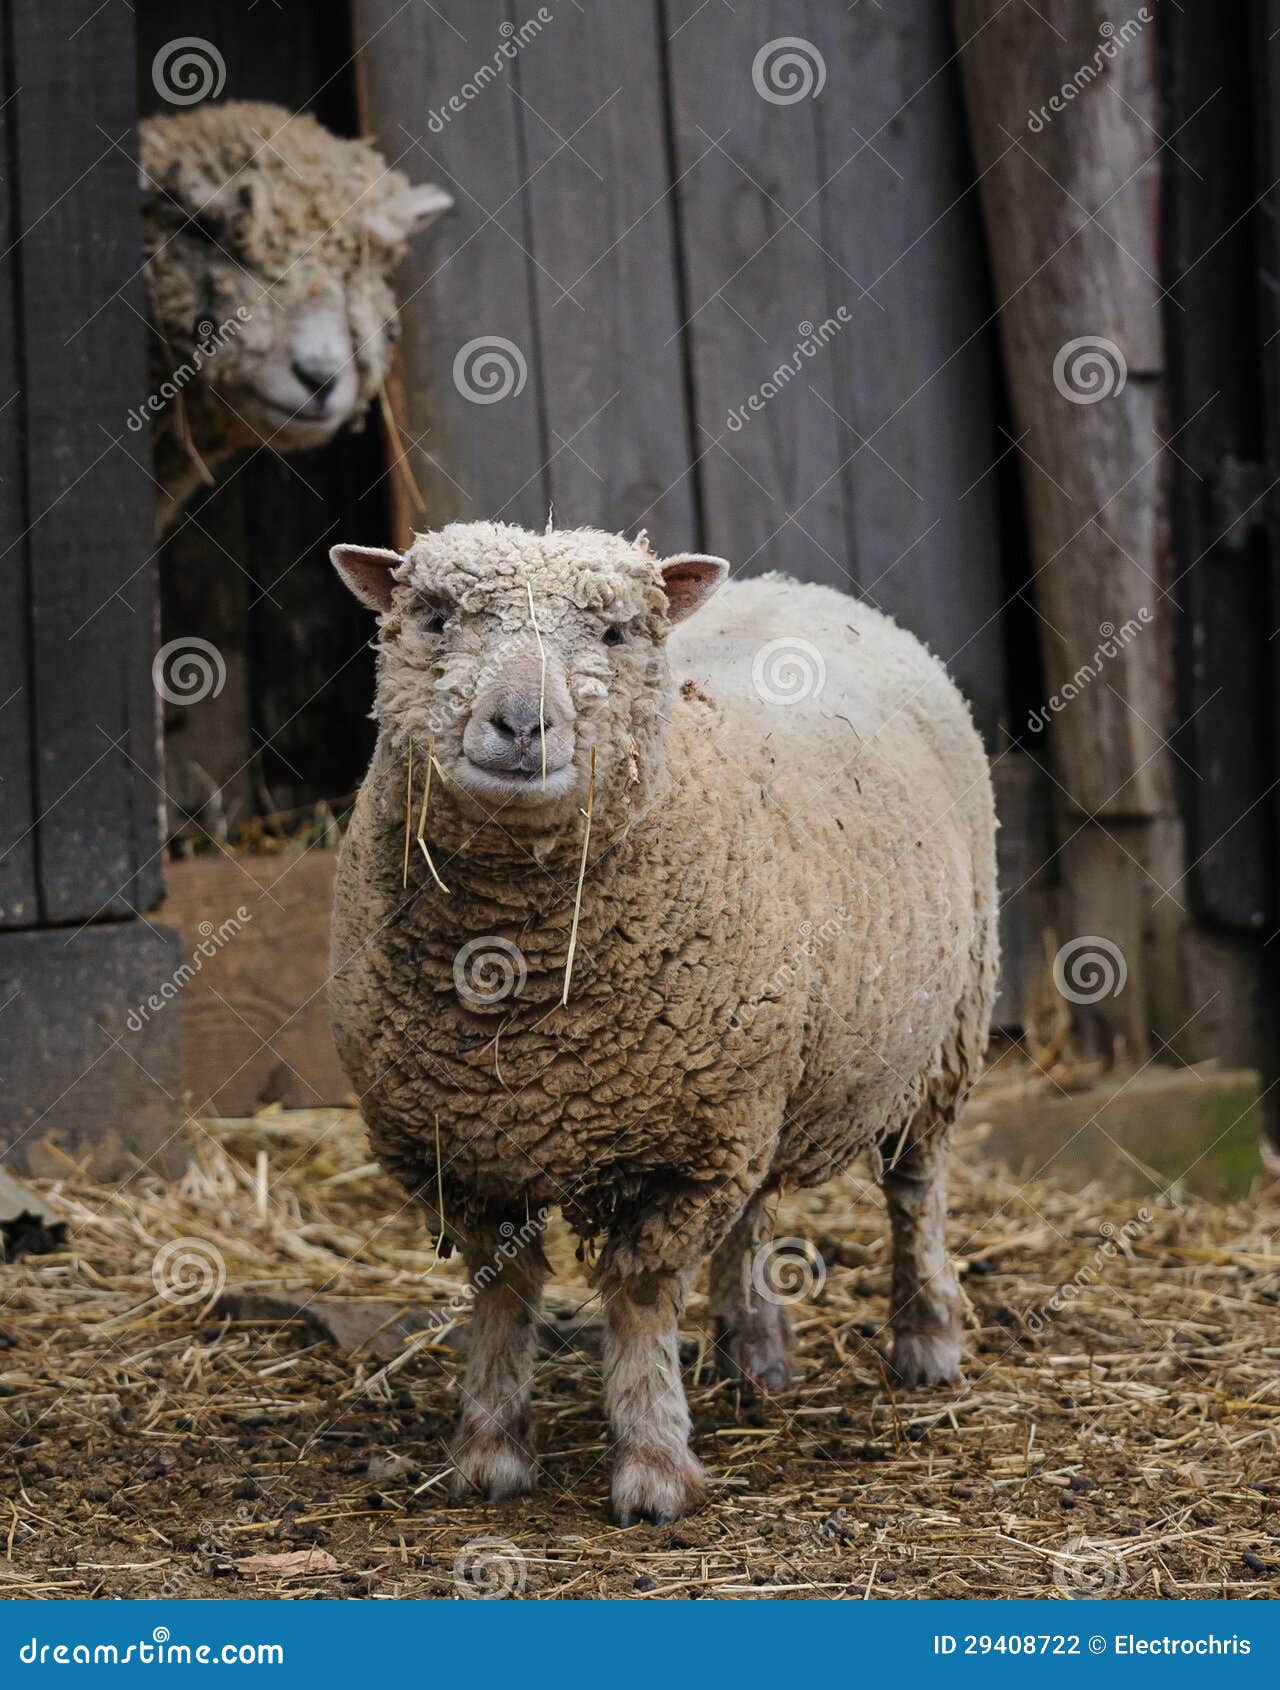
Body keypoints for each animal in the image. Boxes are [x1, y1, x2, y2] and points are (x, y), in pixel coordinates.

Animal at [328, 521, 999, 1525]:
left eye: (614, 634)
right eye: (437, 617)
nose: (520, 725)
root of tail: (797, 583)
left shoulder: (686, 1151)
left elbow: (641, 1296)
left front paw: (651, 1465)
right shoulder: (459, 1148)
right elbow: (503, 1294)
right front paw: (490, 1448)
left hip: (944, 1032)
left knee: (915, 1188)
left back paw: (926, 1339)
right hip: (763, 1071)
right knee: (756, 1210)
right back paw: (754, 1350)